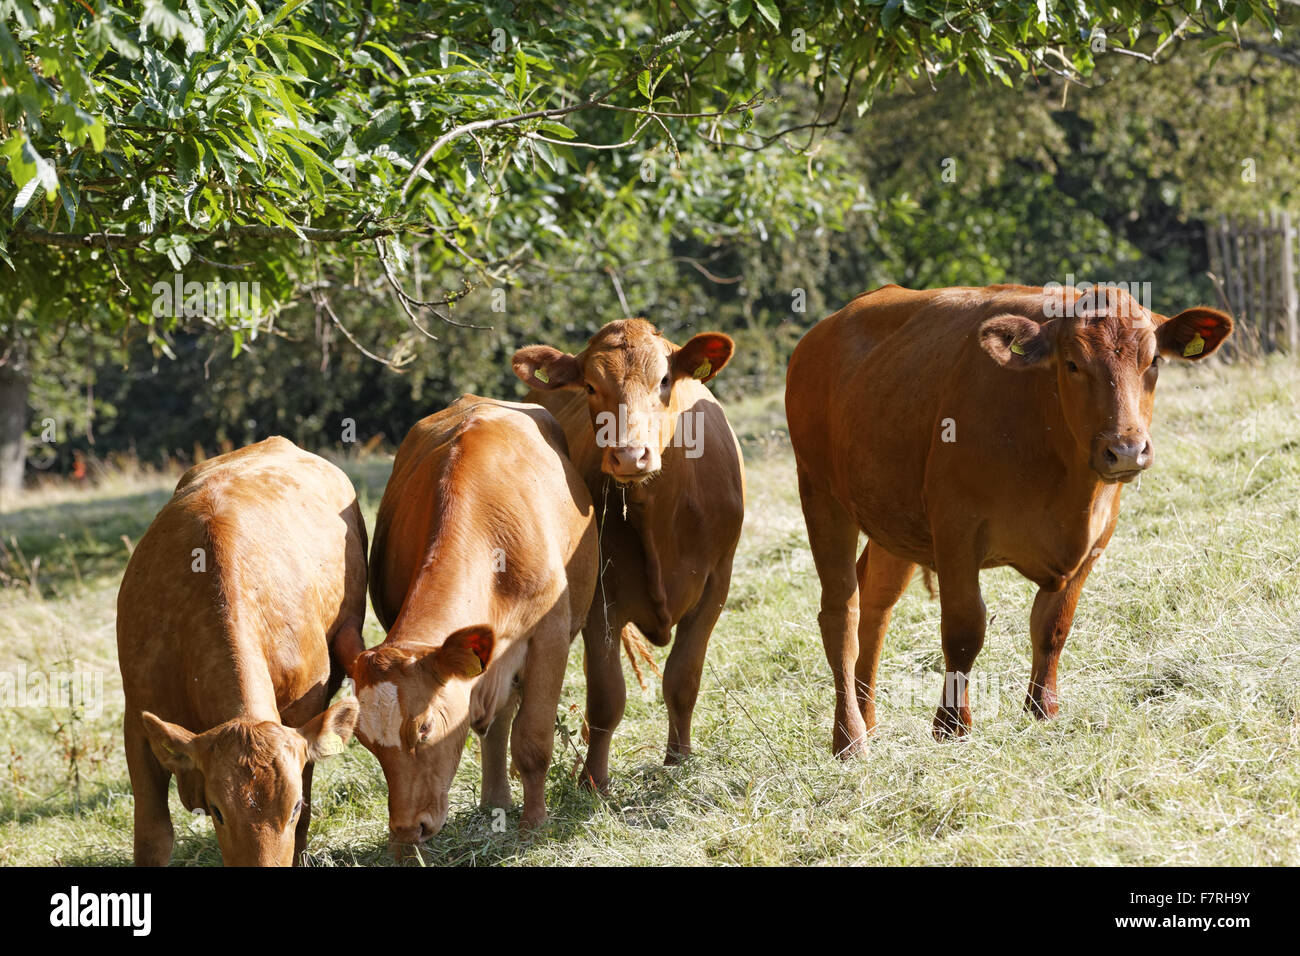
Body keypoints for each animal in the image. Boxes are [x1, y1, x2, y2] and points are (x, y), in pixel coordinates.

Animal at [344, 397, 598, 844]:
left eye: (423, 728)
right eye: (366, 742)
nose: (407, 829)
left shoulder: (549, 638)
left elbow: (533, 740)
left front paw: (534, 825)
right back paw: (494, 800)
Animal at [512, 319, 745, 790]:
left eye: (665, 380)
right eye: (590, 386)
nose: (629, 455)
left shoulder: (717, 583)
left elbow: (682, 680)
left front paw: (678, 761)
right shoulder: (601, 599)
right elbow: (606, 697)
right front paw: (593, 782)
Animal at [785, 284, 1232, 755]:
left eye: (1154, 361)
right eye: (1073, 364)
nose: (1126, 449)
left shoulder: (1096, 540)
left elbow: (1053, 627)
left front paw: (1042, 712)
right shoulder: (956, 529)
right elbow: (964, 630)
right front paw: (952, 726)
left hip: (892, 521)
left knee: (876, 604)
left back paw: (868, 720)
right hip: (820, 493)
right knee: (841, 613)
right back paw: (849, 739)